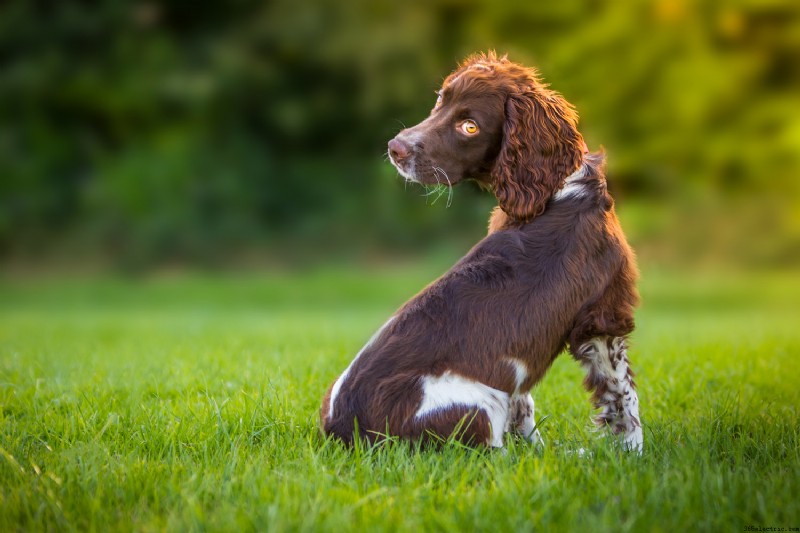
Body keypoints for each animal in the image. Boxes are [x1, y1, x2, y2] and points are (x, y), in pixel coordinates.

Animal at [318, 51, 644, 454]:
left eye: (470, 126)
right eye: (441, 100)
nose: (396, 148)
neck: (556, 185)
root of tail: (342, 432)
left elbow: (526, 403)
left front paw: (537, 450)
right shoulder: (604, 318)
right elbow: (623, 395)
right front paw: (632, 453)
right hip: (479, 400)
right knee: (483, 454)